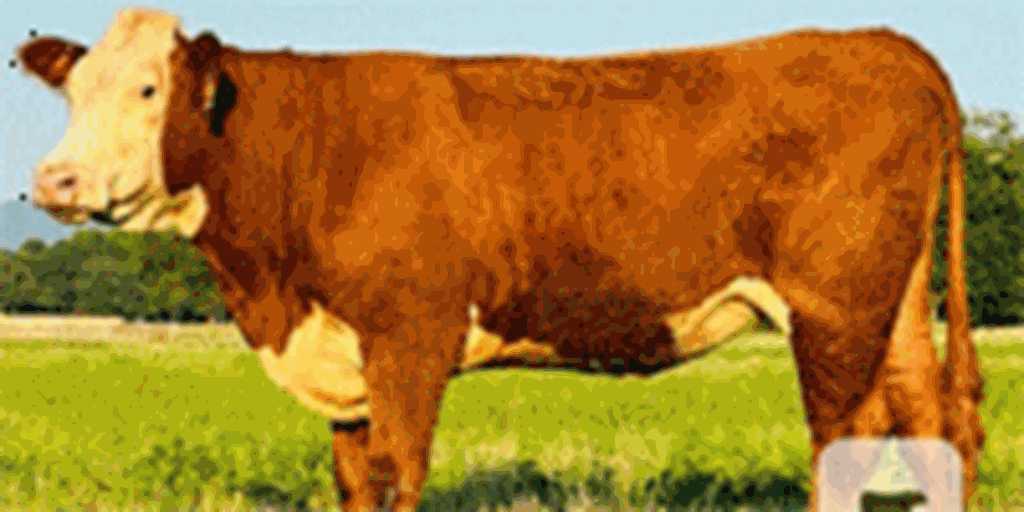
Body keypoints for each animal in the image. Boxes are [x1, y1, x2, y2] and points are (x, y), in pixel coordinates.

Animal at [16, 7, 985, 511]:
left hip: (834, 307)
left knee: (850, 437)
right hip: (895, 299)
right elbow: (352, 481)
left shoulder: (410, 337)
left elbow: (397, 474)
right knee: (931, 418)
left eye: (149, 88)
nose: (54, 180)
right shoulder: (342, 351)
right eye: (72, 90)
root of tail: (884, 42)